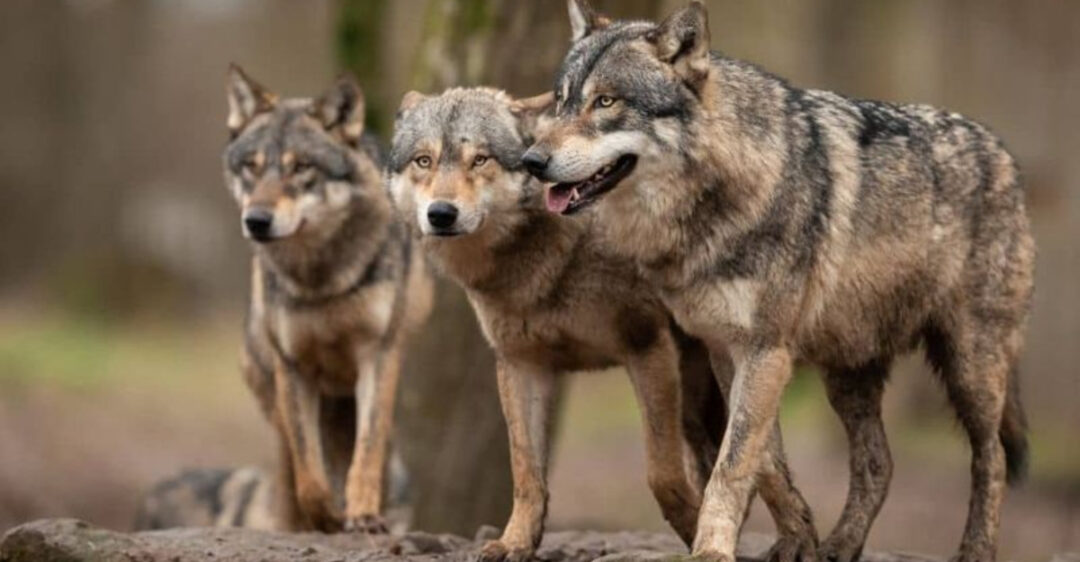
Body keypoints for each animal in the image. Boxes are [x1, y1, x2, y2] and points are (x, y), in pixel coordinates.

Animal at [223, 66, 433, 533]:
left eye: (301, 167)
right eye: (251, 167)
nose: (256, 220)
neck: (321, 280)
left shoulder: (377, 356)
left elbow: (366, 454)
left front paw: (363, 514)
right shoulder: (294, 367)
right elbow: (310, 478)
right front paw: (328, 519)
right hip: (278, 400)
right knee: (290, 472)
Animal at [387, 86, 734, 561]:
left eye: (480, 160)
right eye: (424, 160)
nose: (441, 213)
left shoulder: (646, 348)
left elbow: (661, 475)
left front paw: (694, 530)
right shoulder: (520, 366)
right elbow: (526, 472)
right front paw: (515, 542)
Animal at [523, 2, 1035, 561]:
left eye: (606, 101)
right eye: (562, 99)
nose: (531, 161)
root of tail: (1002, 150)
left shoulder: (766, 351)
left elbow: (732, 464)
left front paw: (713, 549)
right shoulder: (728, 350)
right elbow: (763, 460)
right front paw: (798, 537)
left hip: (970, 367)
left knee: (992, 458)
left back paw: (975, 549)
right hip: (849, 373)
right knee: (879, 463)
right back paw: (840, 544)